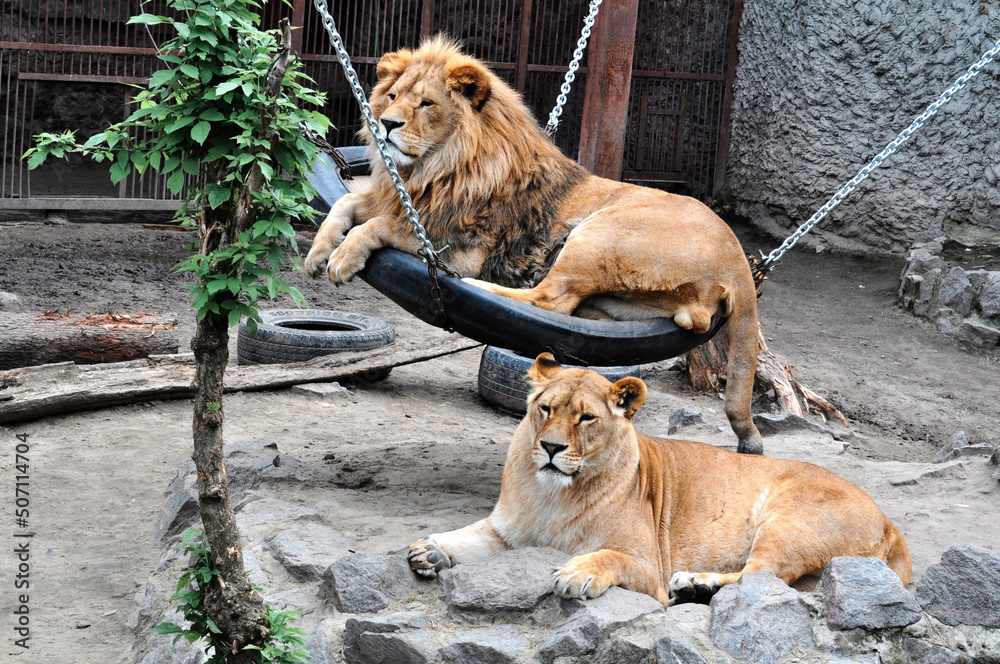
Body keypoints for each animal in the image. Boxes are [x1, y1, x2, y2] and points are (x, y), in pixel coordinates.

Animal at [305, 36, 764, 454]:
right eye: (393, 96)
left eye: (427, 104)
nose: (385, 123)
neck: (434, 169)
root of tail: (738, 259)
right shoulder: (393, 198)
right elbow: (346, 205)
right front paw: (318, 253)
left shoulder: (458, 246)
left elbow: (377, 225)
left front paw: (342, 259)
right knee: (573, 307)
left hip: (598, 231)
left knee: (548, 298)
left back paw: (474, 291)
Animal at [407, 354, 912, 607]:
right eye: (545, 409)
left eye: (586, 418)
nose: (549, 447)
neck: (553, 494)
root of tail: (890, 522)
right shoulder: (506, 529)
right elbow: (470, 537)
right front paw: (428, 550)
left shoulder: (649, 566)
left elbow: (611, 557)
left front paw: (577, 572)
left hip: (789, 520)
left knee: (763, 574)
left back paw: (694, 584)